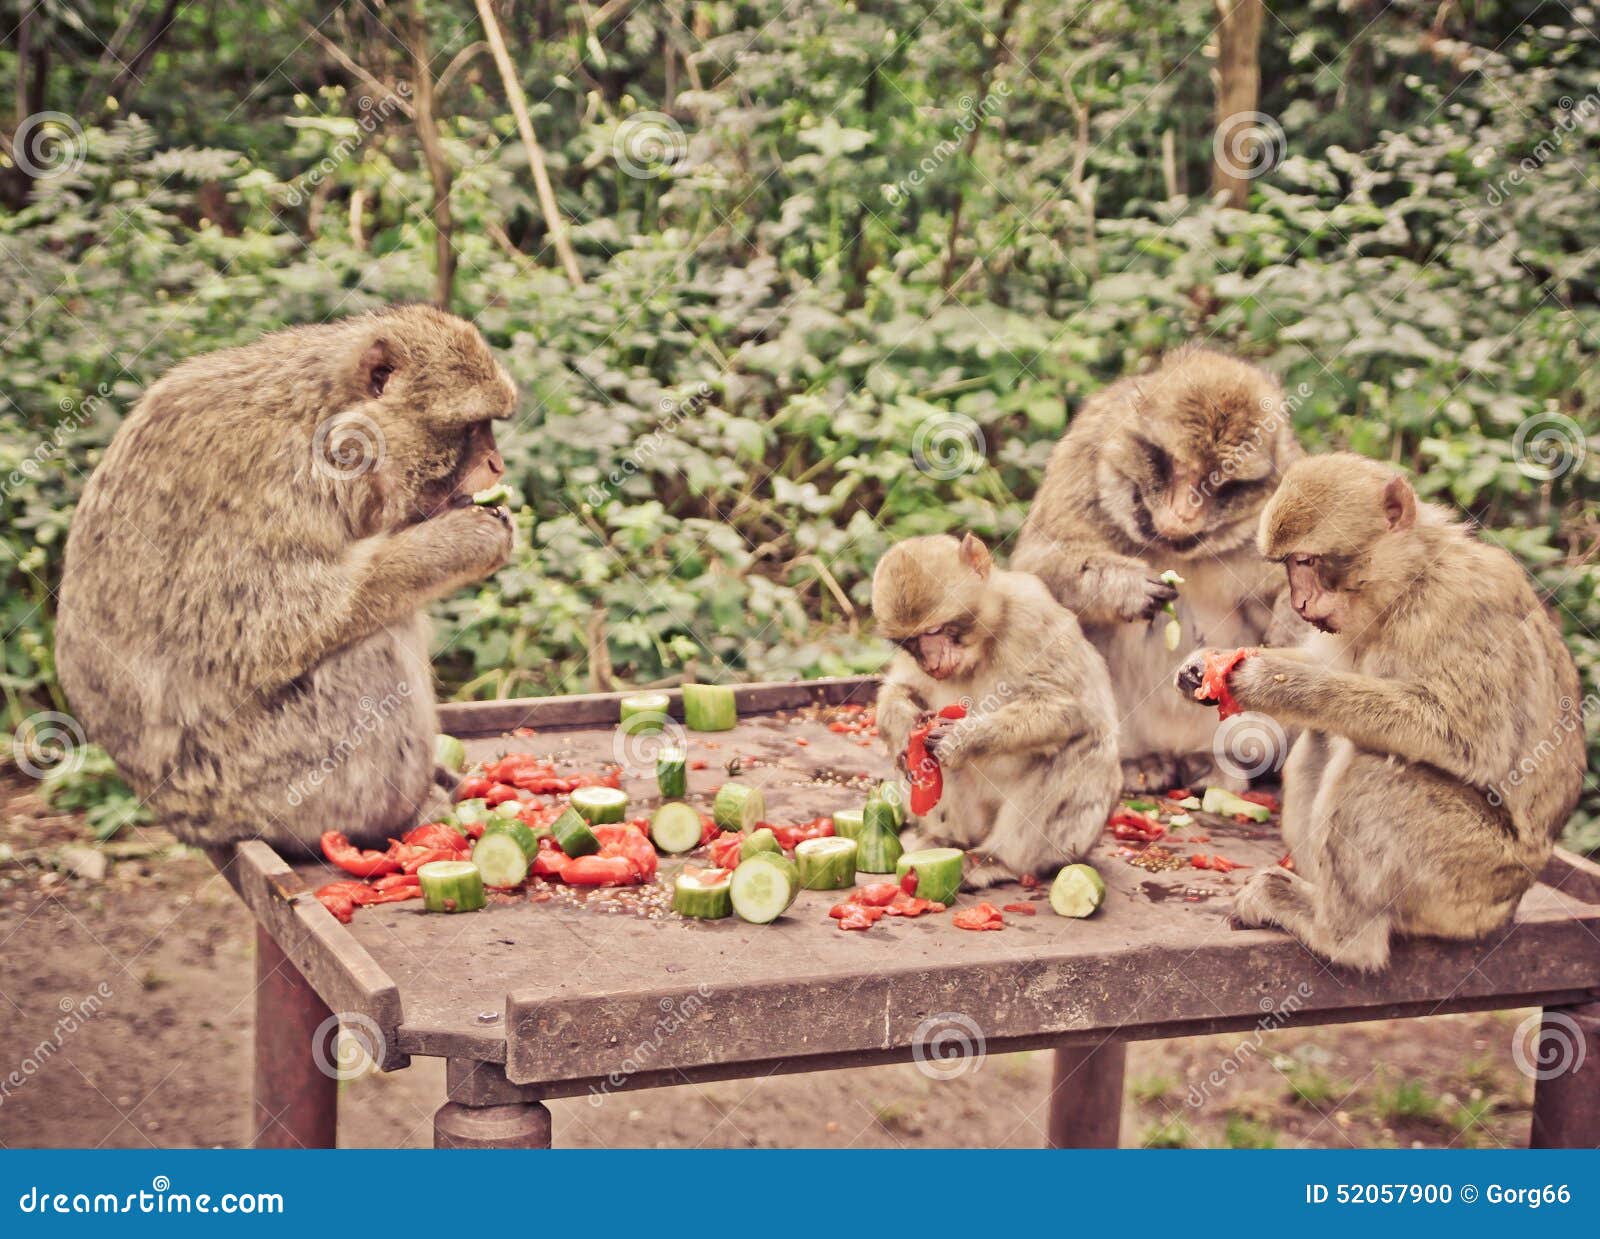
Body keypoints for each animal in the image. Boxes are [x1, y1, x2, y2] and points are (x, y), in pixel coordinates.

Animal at [56, 306, 517, 857]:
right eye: (472, 427)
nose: (498, 463)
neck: (324, 424)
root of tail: (188, 824)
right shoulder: (271, 480)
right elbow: (268, 629)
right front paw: (462, 540)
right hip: (271, 785)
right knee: (374, 645)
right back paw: (399, 816)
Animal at [872, 533, 1123, 888]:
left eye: (934, 631)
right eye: (911, 641)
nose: (931, 662)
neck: (984, 642)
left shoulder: (1032, 618)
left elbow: (1066, 708)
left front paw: (963, 739)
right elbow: (901, 689)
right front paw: (906, 727)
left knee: (1084, 747)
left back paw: (998, 860)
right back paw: (944, 840)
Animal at [1010, 345, 1305, 793]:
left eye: (1218, 482)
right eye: (1179, 470)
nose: (1185, 512)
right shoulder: (1084, 457)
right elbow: (1036, 569)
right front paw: (1124, 586)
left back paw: (1219, 764)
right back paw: (1136, 762)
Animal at [1174, 453, 1585, 971]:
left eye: (1307, 561)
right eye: (1288, 564)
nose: (1299, 602)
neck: (1408, 586)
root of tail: (1506, 908)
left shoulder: (1460, 604)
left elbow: (1468, 739)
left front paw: (1264, 681)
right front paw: (1205, 666)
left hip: (1474, 880)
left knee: (1374, 772)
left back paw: (1338, 934)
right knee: (1322, 740)